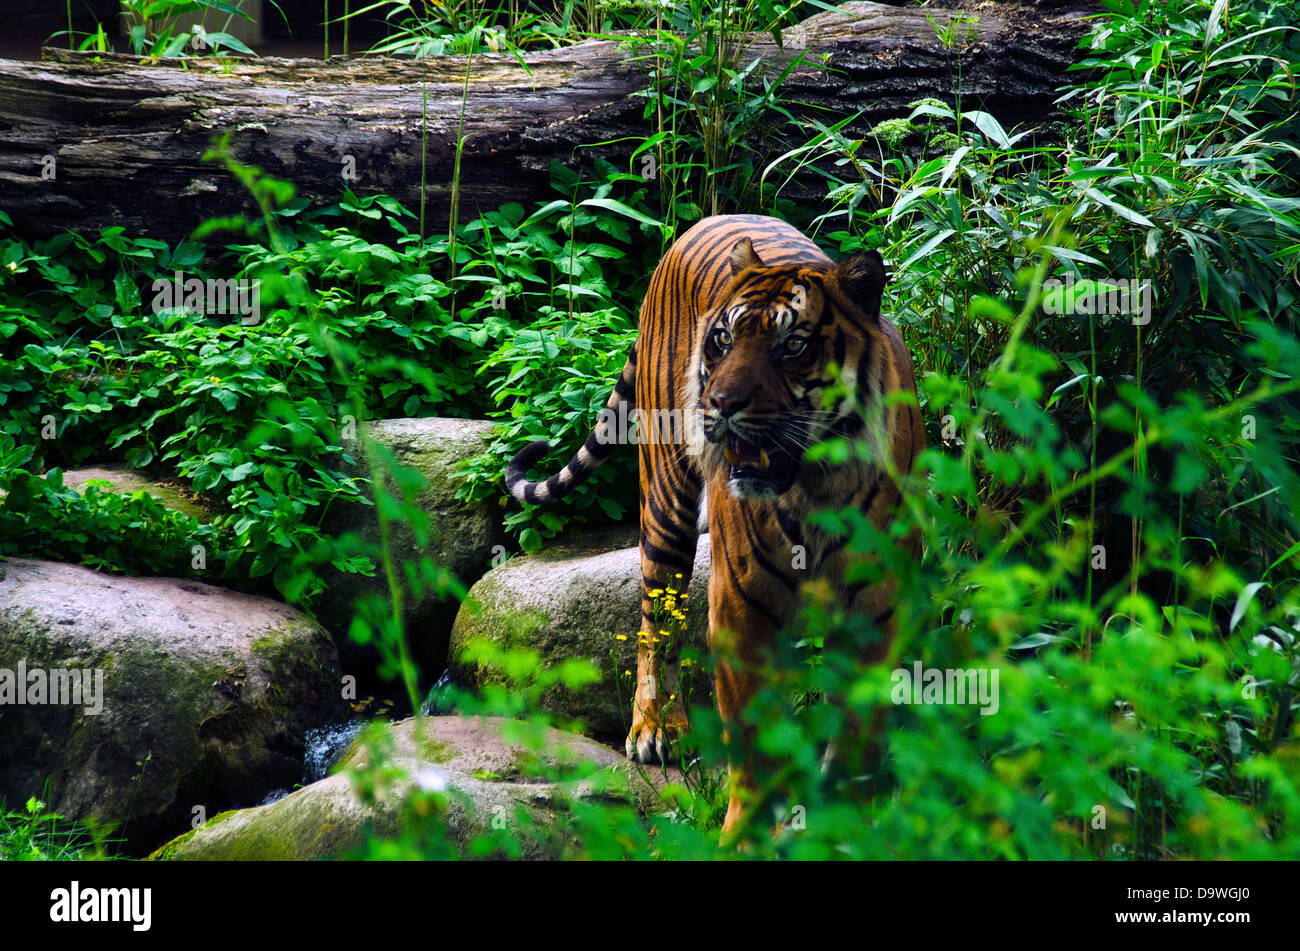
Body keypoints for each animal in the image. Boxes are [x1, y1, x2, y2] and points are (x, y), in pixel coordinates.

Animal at [506, 214, 924, 839]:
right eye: (724, 340)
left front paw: (841, 826)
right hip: (665, 501)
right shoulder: (739, 606)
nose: (721, 404)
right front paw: (746, 835)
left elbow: (856, 738)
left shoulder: (878, 609)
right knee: (656, 620)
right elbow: (753, 743)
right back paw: (655, 729)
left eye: (793, 345)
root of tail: (698, 224)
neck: (815, 488)